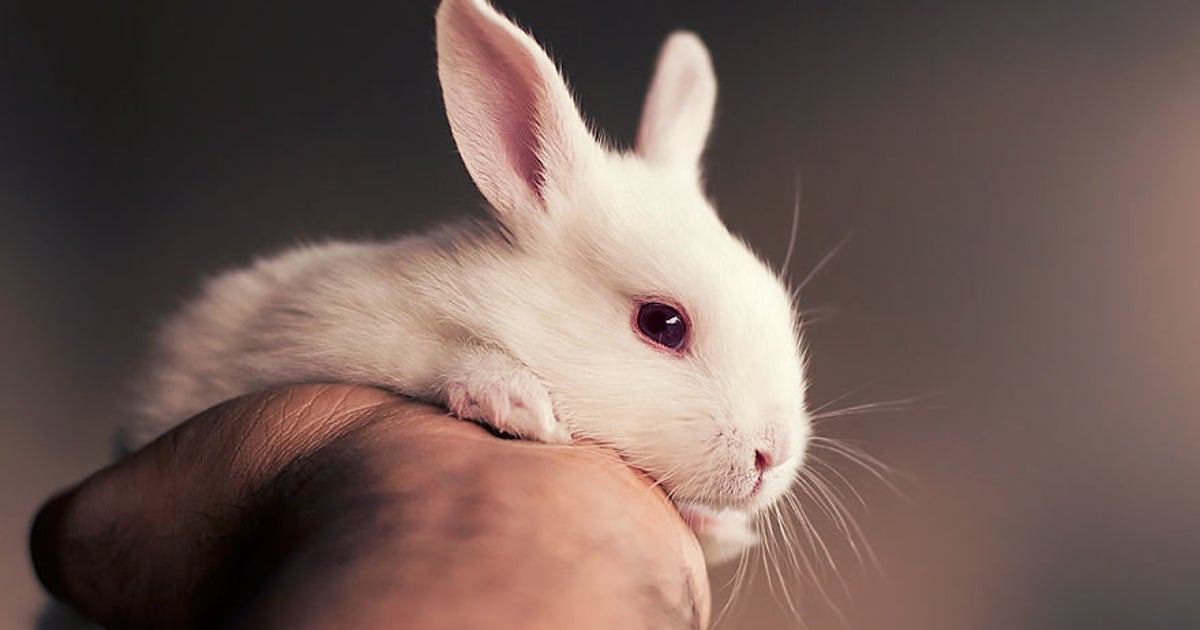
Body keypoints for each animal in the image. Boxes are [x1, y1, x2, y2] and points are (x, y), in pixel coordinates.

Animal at [124, 0, 811, 565]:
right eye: (662, 323)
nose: (772, 455)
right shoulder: (323, 328)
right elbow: (436, 351)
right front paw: (518, 402)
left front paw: (719, 529)